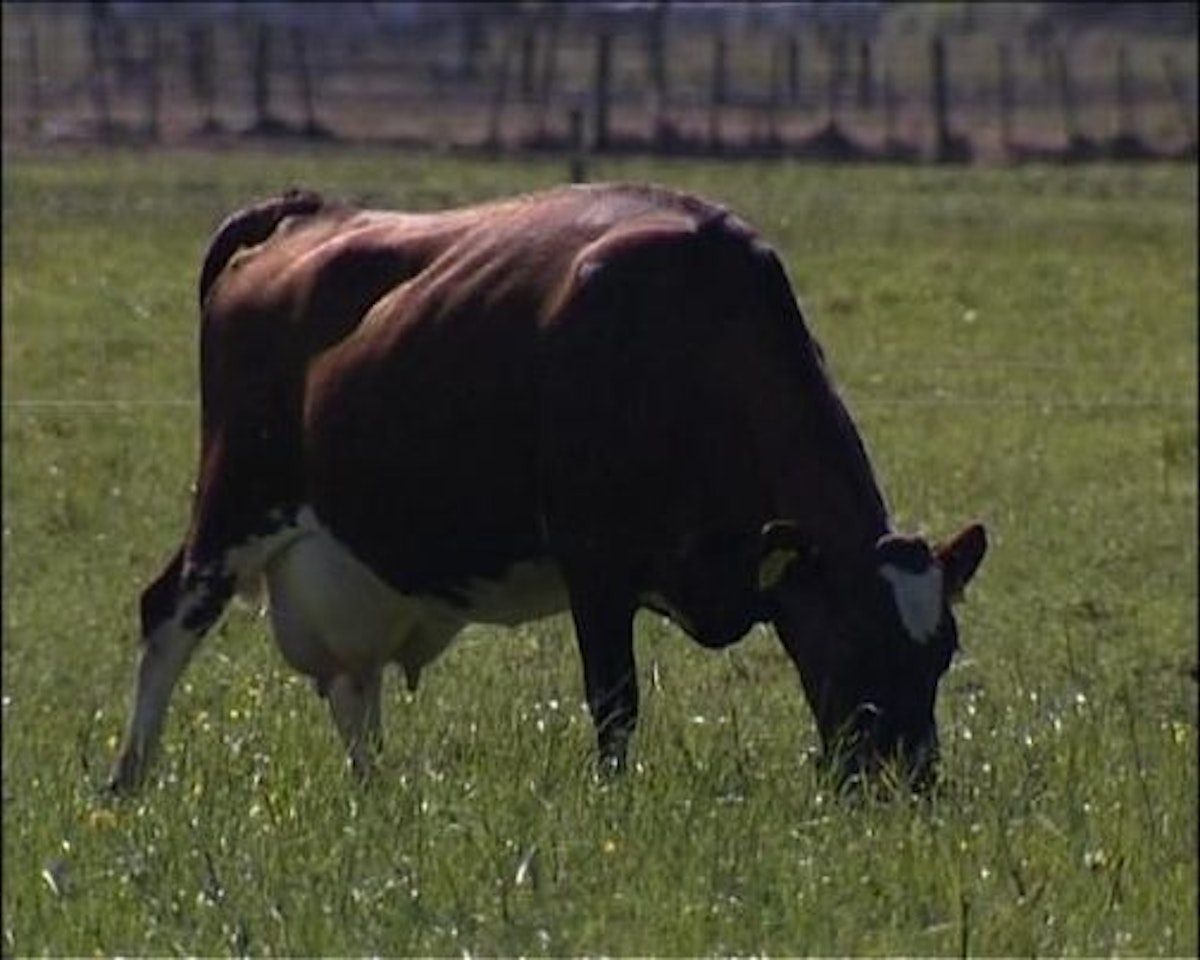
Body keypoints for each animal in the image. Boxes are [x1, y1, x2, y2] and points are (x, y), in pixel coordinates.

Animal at [109, 183, 987, 796]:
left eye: (943, 651)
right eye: (854, 639)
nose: (908, 785)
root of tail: (303, 212)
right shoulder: (594, 561)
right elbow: (615, 701)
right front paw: (612, 803)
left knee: (352, 684)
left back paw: (375, 795)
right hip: (237, 497)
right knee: (170, 614)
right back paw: (129, 781)